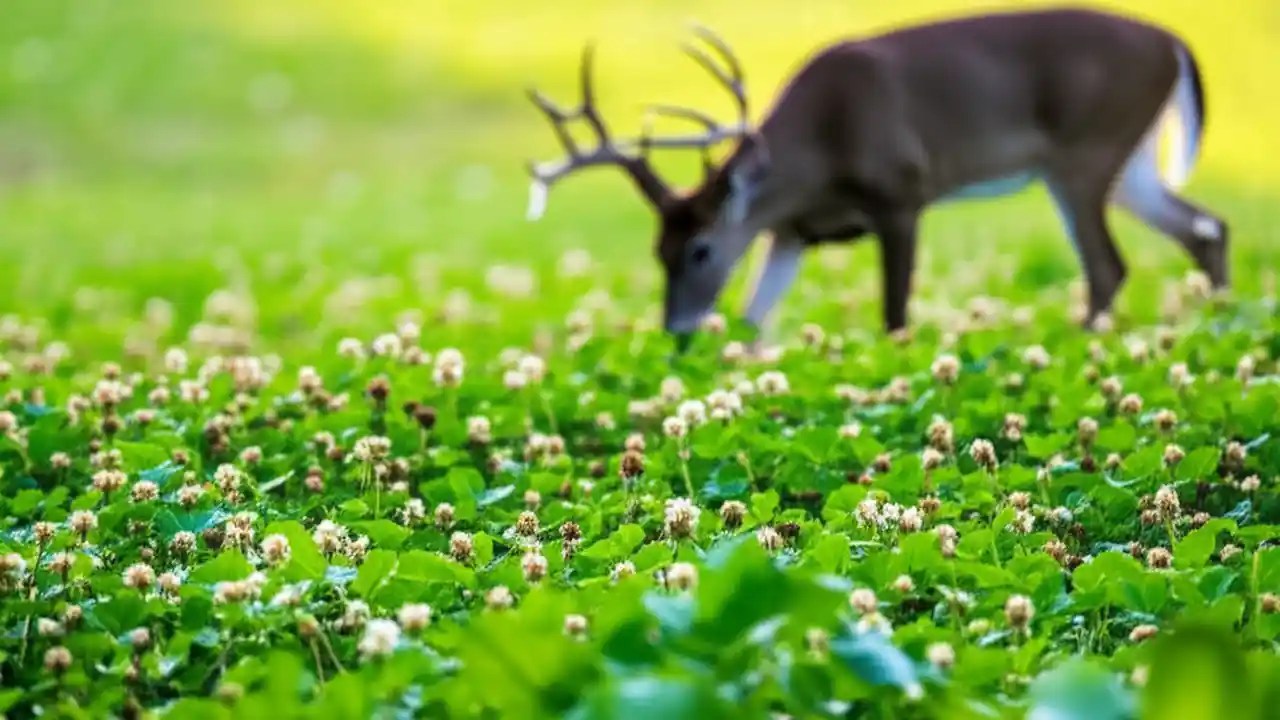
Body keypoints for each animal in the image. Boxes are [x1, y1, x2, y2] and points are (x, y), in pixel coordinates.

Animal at [524, 7, 1228, 346]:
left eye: (699, 249)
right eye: (658, 251)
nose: (676, 331)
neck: (819, 155)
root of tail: (1174, 43)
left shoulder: (902, 195)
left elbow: (894, 315)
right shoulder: (792, 232)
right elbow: (754, 321)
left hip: (1084, 152)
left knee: (1108, 265)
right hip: (1129, 162)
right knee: (1206, 227)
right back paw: (1222, 324)